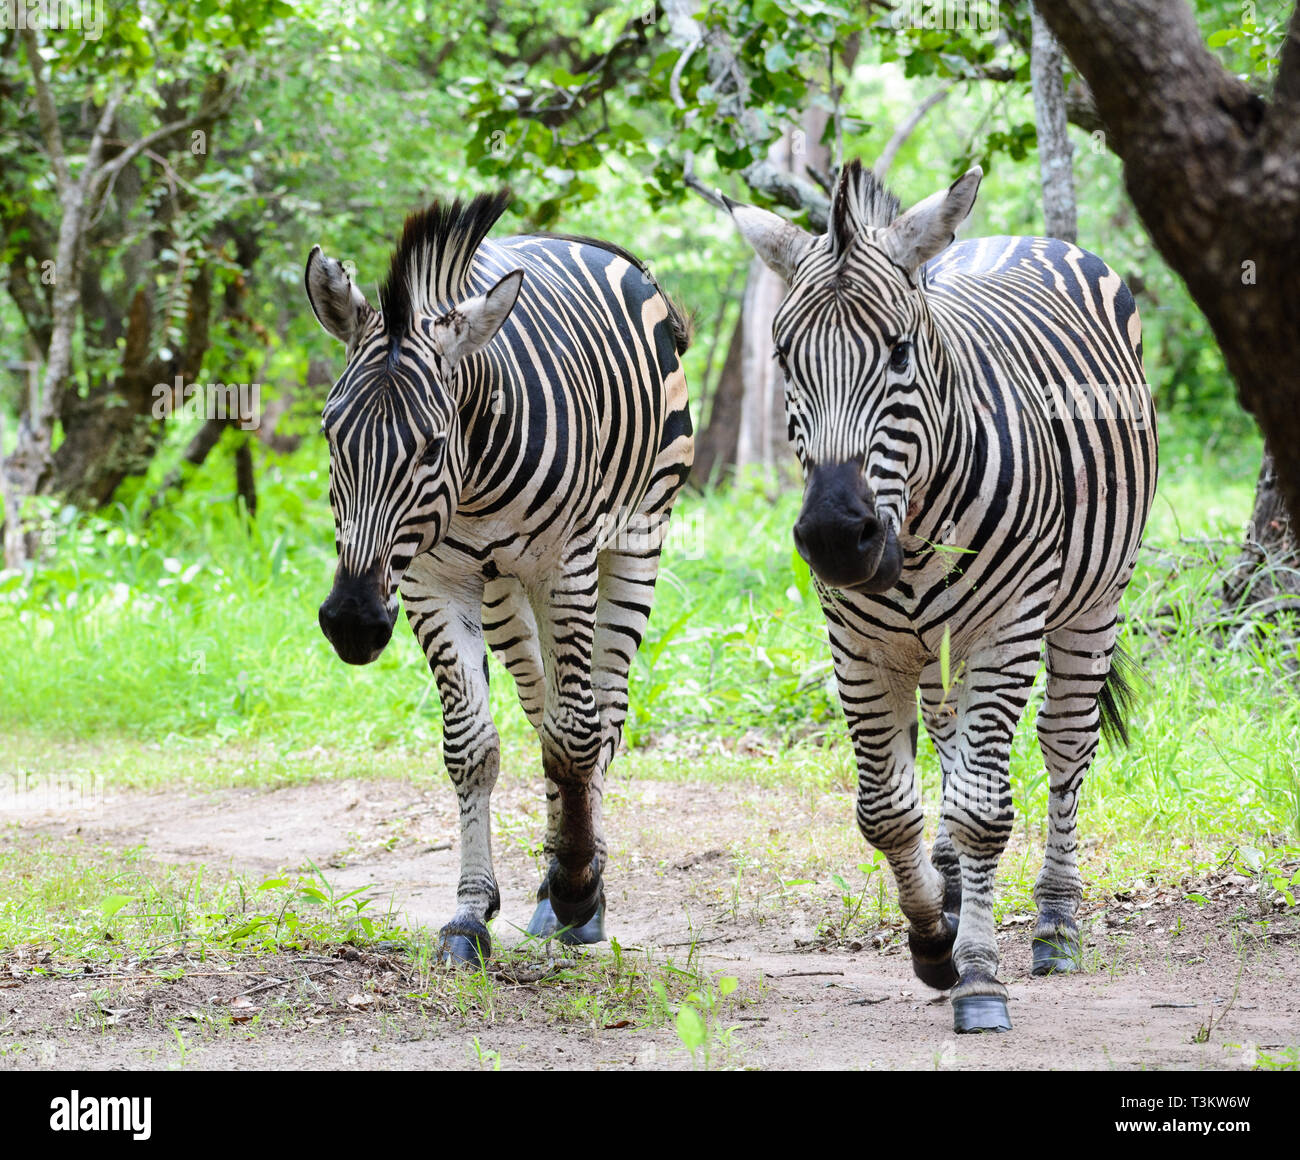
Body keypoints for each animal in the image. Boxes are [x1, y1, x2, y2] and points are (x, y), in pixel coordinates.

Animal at [304, 191, 693, 964]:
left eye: (431, 444)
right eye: (332, 434)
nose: (353, 623)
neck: (472, 479)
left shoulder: (566, 565)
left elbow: (576, 737)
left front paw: (577, 884)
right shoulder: (430, 582)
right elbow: (473, 747)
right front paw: (470, 912)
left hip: (635, 540)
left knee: (600, 714)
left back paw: (578, 891)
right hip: (502, 592)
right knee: (545, 709)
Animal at [726, 160, 1157, 1033]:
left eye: (899, 352)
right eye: (784, 357)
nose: (835, 537)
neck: (916, 534)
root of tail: (1019, 236)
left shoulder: (1006, 628)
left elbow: (984, 807)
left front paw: (982, 976)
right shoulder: (858, 645)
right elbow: (888, 810)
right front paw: (933, 939)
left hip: (1095, 600)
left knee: (1065, 745)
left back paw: (1056, 922)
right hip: (935, 648)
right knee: (951, 735)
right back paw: (956, 889)